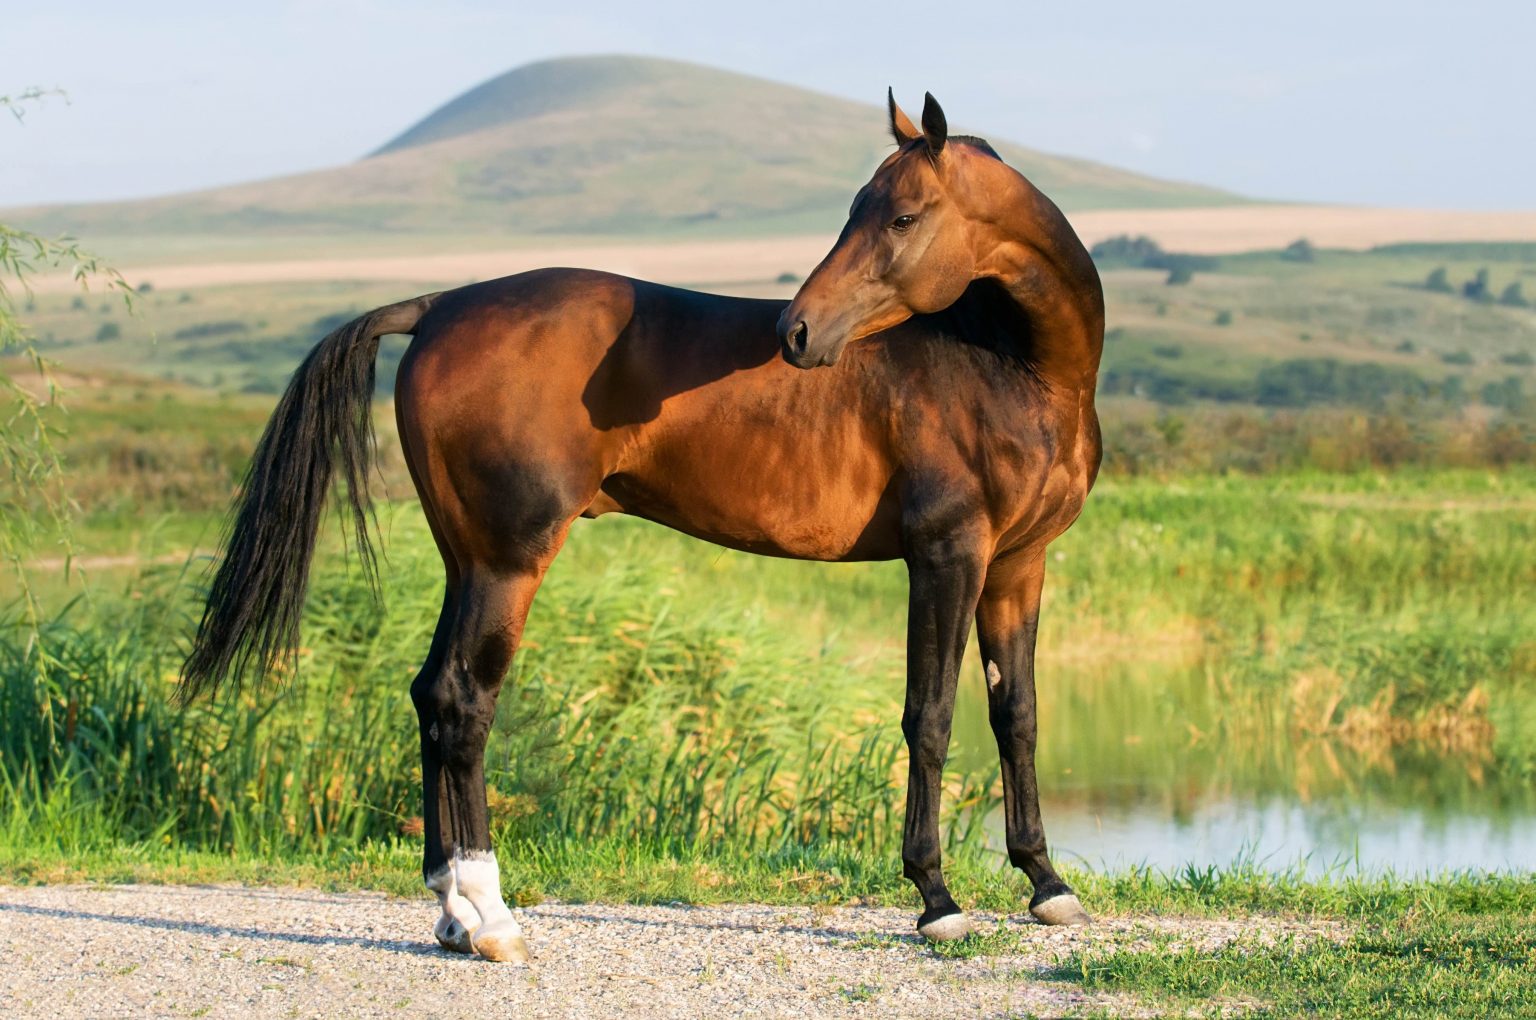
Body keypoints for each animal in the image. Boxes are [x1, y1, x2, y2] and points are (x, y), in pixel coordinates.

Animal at [181, 90, 1104, 962]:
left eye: (903, 215)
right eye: (859, 207)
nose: (797, 331)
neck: (1007, 362)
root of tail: (441, 304)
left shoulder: (1018, 564)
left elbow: (1016, 713)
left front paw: (1046, 884)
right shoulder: (946, 556)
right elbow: (931, 716)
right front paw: (937, 898)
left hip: (465, 560)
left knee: (429, 694)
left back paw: (451, 912)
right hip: (508, 562)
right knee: (463, 700)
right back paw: (490, 916)